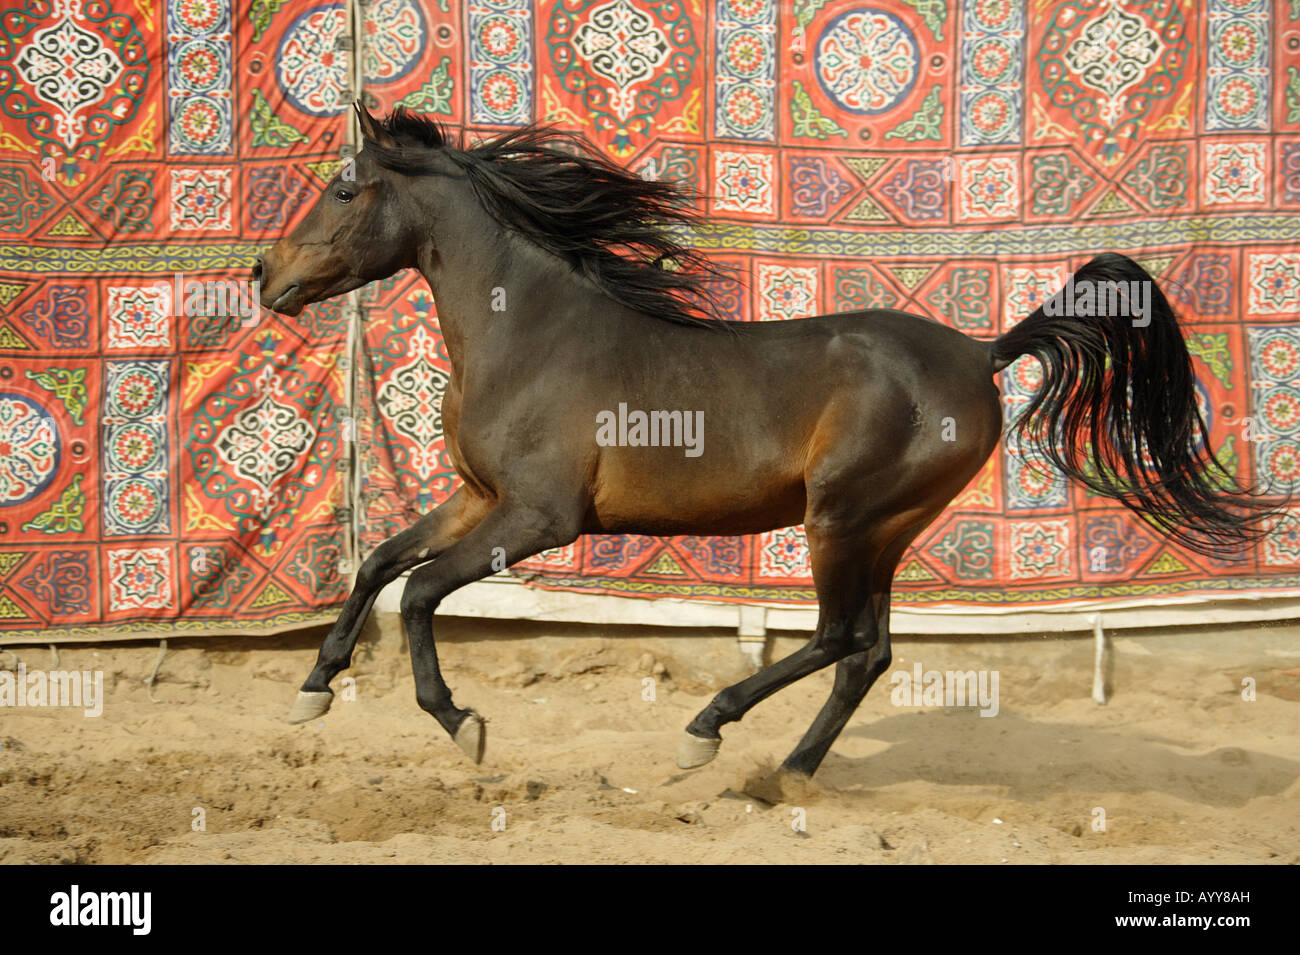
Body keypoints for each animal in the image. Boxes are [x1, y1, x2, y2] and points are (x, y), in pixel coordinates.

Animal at [254, 104, 1275, 777]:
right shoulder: (478, 497)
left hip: (842, 519)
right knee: (867, 652)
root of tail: (982, 351)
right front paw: (312, 689)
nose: (265, 274)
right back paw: (788, 770)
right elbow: (380, 562)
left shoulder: (540, 516)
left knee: (836, 636)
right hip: (886, 530)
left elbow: (423, 592)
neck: (528, 332)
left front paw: (459, 721)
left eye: (343, 187)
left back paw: (708, 732)